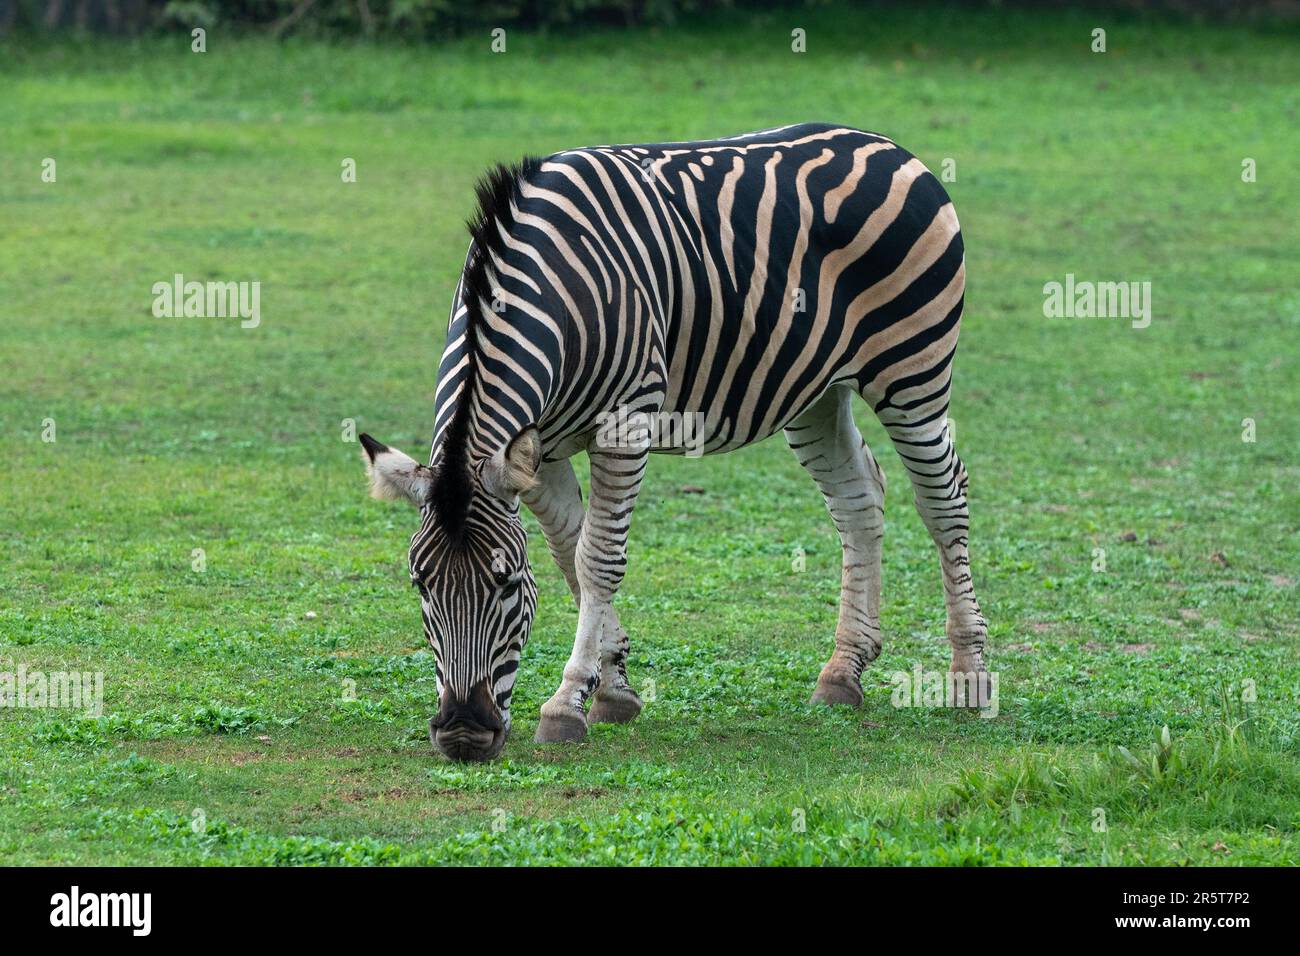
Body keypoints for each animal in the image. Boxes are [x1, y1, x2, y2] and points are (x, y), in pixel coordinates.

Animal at [359, 122, 988, 762]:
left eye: (508, 582)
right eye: (419, 583)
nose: (463, 734)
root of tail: (885, 143)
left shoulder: (624, 423)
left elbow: (598, 560)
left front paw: (566, 702)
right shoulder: (543, 449)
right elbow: (570, 557)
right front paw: (611, 689)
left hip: (912, 371)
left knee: (943, 499)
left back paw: (968, 676)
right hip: (817, 393)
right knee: (860, 500)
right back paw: (843, 672)